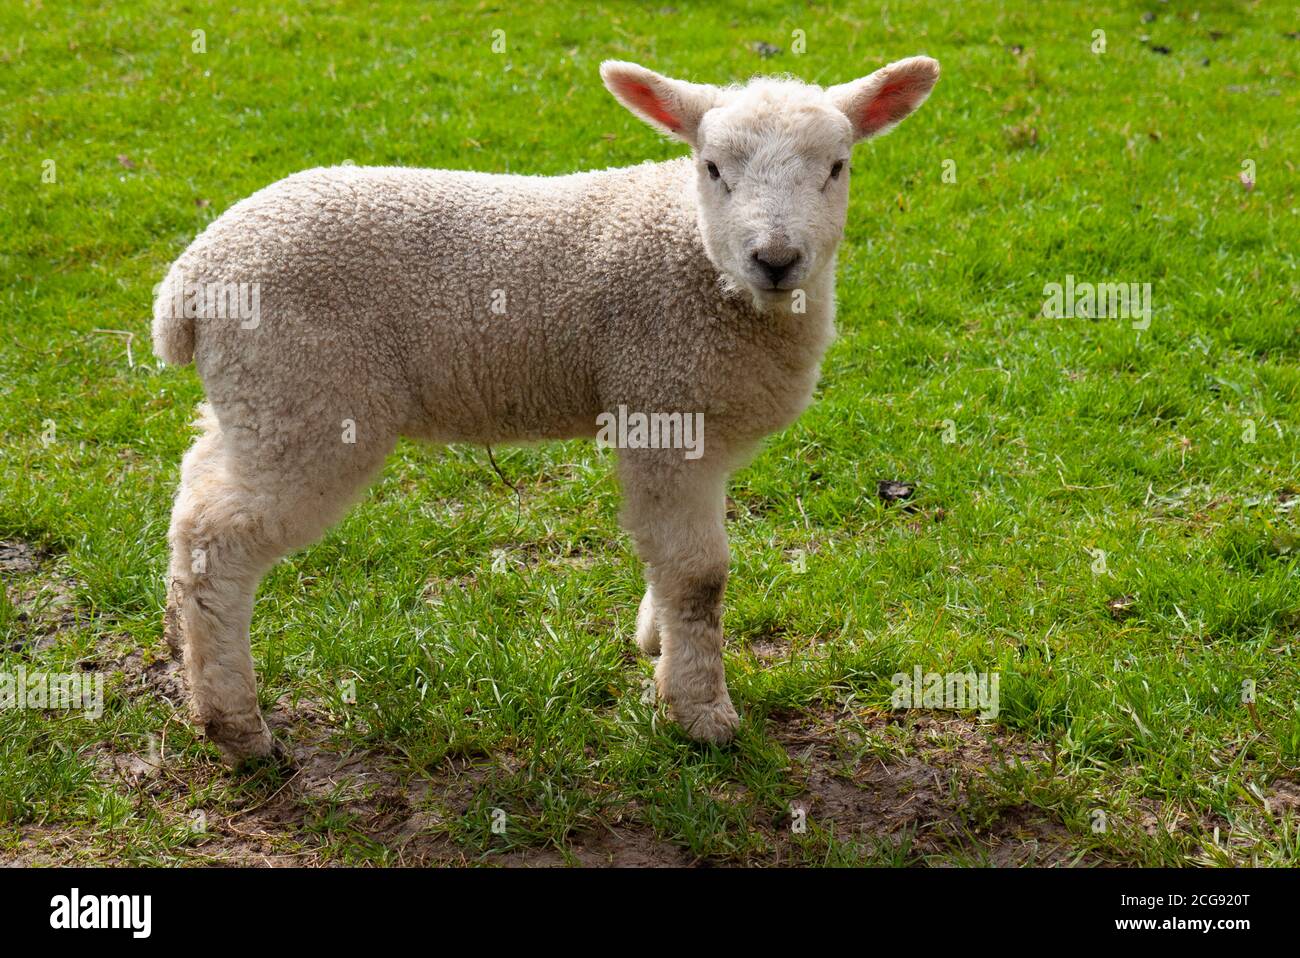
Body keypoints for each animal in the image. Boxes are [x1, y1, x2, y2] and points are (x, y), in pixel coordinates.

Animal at [152, 56, 941, 765]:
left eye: (837, 167)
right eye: (713, 168)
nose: (775, 259)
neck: (700, 262)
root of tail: (190, 279)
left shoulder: (696, 424)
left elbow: (677, 562)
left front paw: (654, 643)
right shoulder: (662, 403)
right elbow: (699, 574)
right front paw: (699, 712)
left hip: (254, 397)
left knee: (193, 497)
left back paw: (181, 645)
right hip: (307, 398)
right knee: (220, 541)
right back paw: (236, 725)